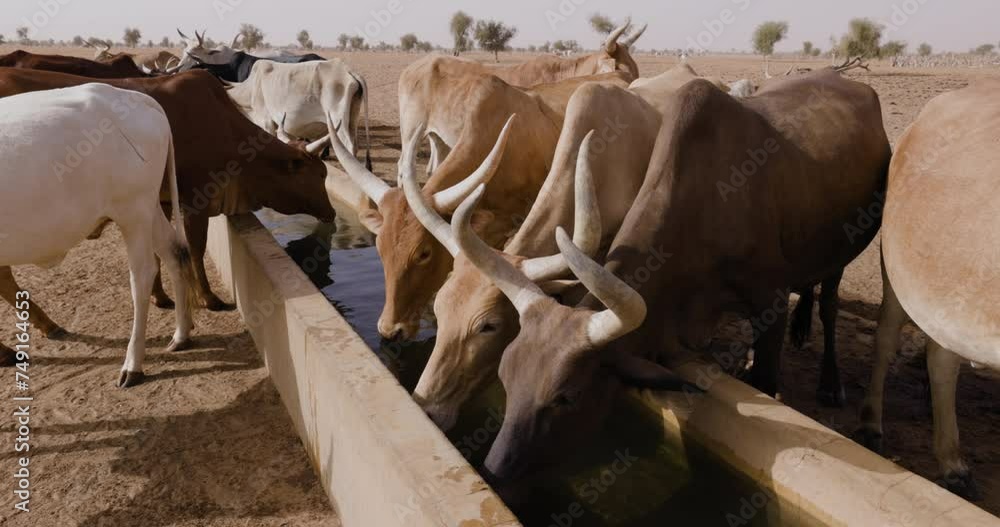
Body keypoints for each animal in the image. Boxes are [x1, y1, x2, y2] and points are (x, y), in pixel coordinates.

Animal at [0, 68, 336, 319]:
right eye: (319, 174)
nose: (332, 213)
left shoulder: (158, 201)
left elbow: (157, 253)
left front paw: (160, 295)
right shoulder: (197, 199)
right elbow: (195, 248)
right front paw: (208, 298)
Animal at [0, 83, 197, 387]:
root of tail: (135, 97)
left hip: (133, 209)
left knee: (142, 275)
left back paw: (133, 364)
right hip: (147, 209)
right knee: (175, 252)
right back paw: (181, 335)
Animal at [225, 58, 369, 161]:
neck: (250, 89)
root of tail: (347, 71)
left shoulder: (266, 123)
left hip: (338, 121)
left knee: (348, 148)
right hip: (351, 120)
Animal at [450, 69, 890, 492]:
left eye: (567, 396)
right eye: (506, 376)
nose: (493, 473)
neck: (708, 201)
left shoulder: (771, 301)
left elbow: (767, 374)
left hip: (844, 251)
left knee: (829, 304)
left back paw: (831, 383)